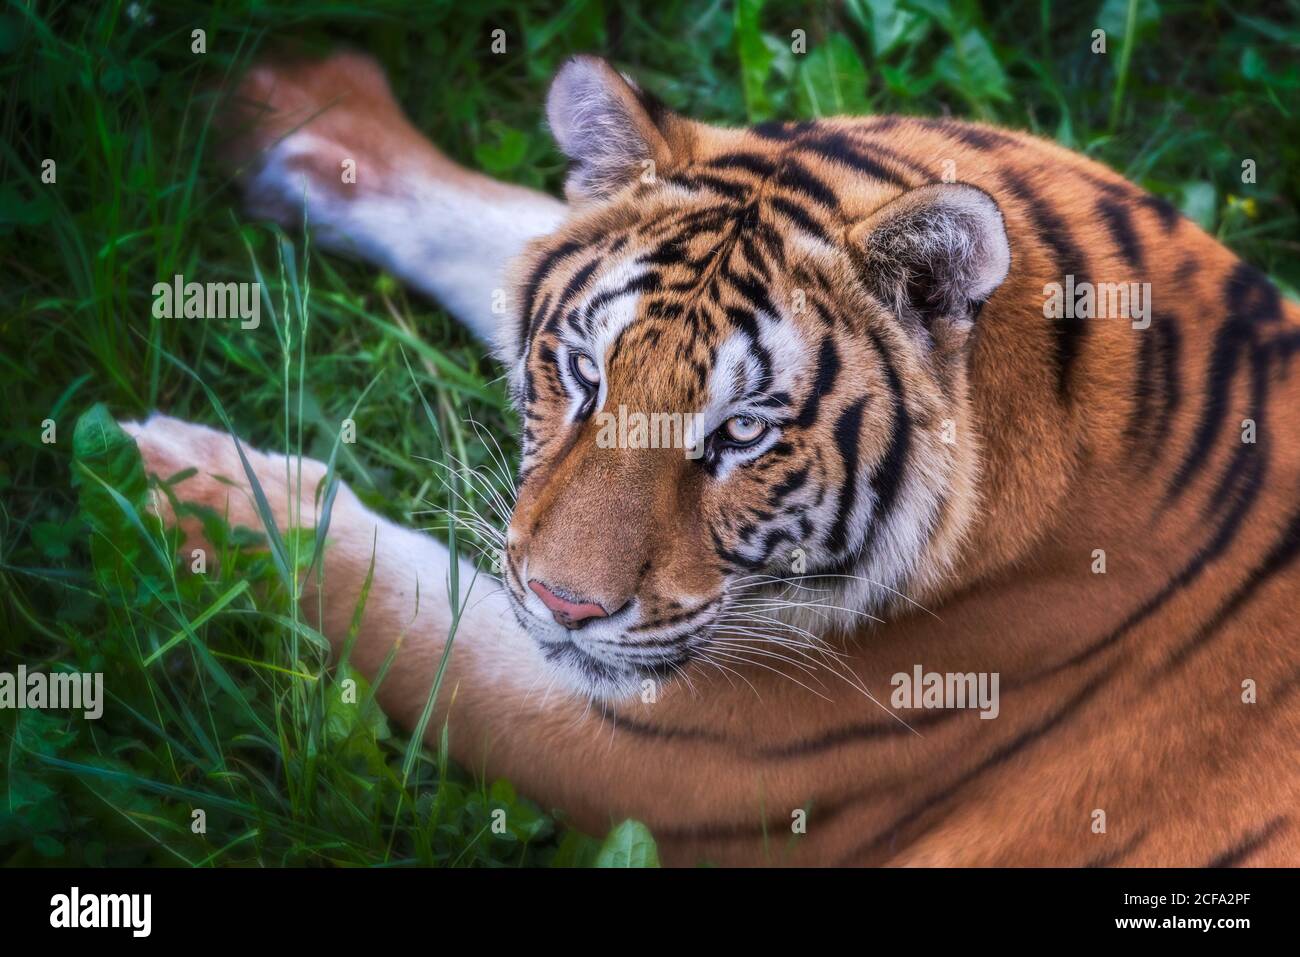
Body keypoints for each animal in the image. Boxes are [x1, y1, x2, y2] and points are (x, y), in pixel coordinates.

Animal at [123, 51, 1300, 866]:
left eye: (742, 433)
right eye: (585, 372)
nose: (563, 605)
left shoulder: (661, 745)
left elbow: (395, 609)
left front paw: (193, 488)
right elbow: (504, 225)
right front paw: (301, 117)